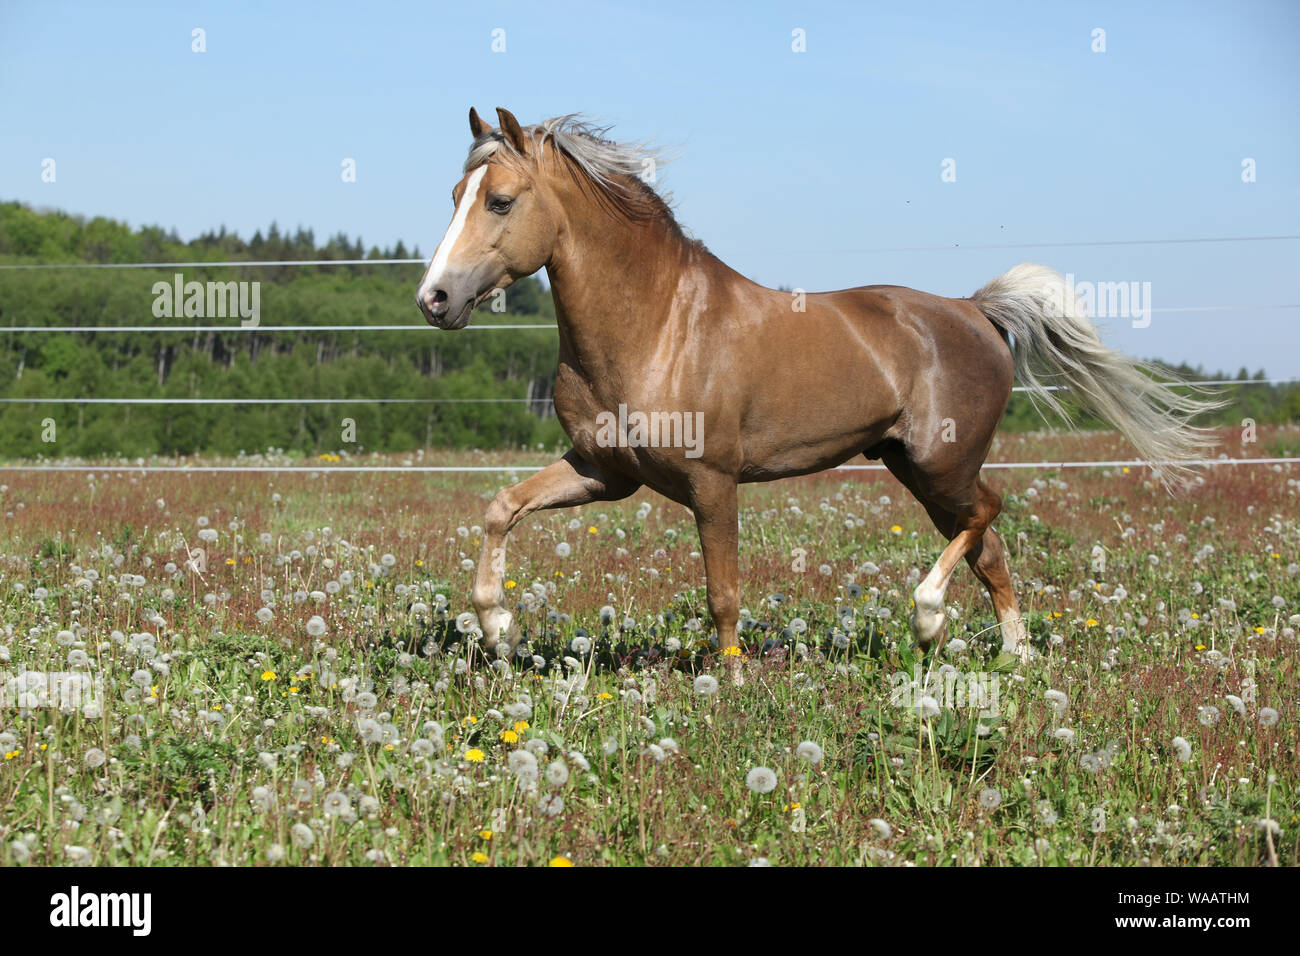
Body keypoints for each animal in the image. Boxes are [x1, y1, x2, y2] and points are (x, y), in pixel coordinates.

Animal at [415, 107, 1216, 675]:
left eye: (500, 201)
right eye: (454, 195)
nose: (435, 299)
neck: (660, 321)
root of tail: (975, 311)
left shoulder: (713, 483)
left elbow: (724, 593)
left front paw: (732, 686)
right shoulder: (603, 473)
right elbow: (501, 509)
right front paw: (497, 629)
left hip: (941, 464)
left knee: (989, 513)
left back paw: (929, 617)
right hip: (913, 468)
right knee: (990, 547)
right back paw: (1012, 657)